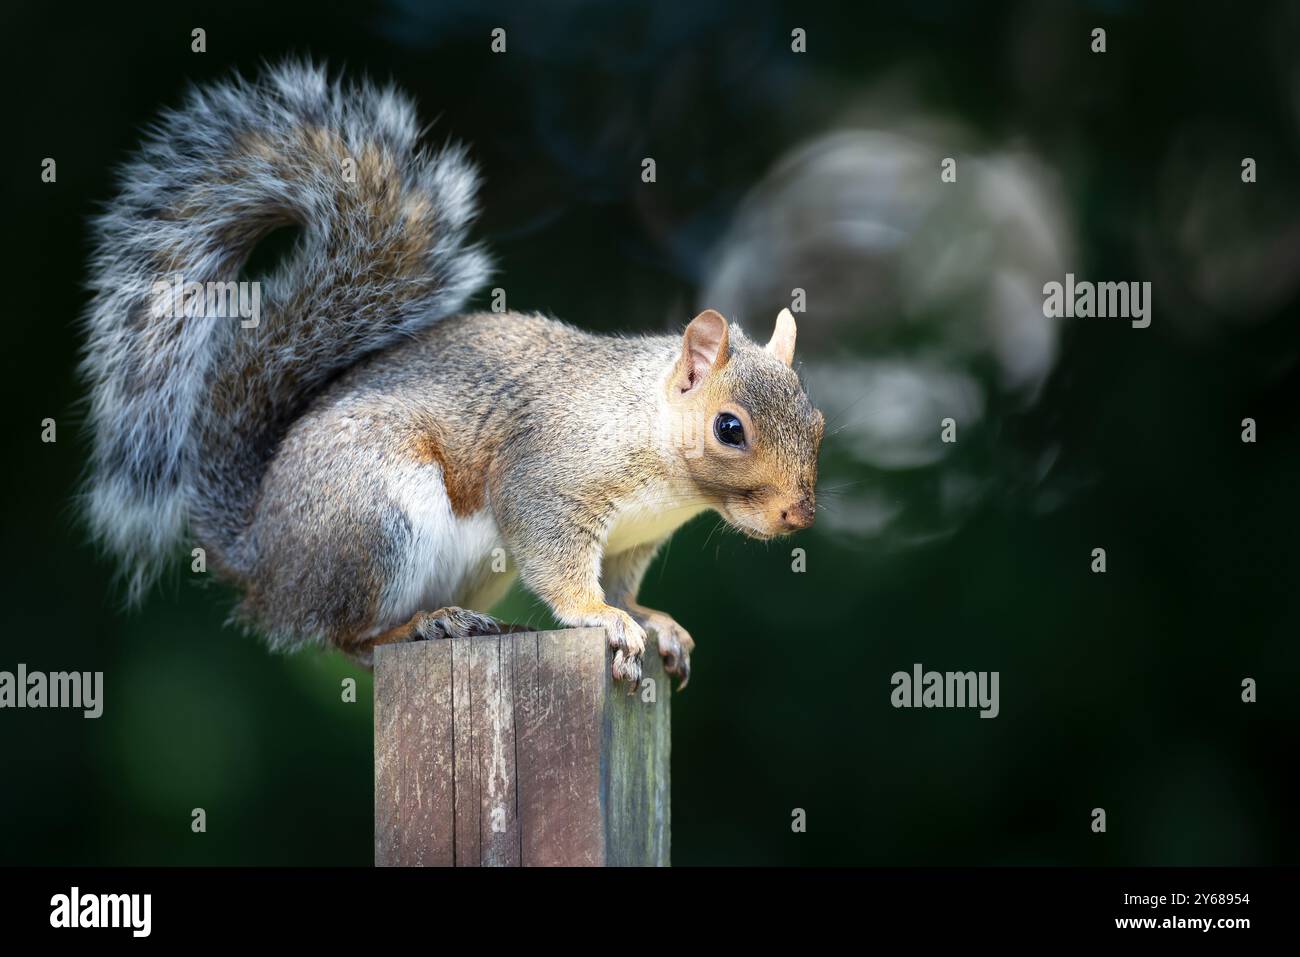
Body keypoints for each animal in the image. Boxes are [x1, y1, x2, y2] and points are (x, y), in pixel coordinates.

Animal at [80, 61, 824, 688]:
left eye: (818, 425)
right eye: (729, 429)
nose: (799, 514)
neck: (659, 453)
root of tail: (262, 557)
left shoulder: (632, 539)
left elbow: (623, 585)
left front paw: (653, 621)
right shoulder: (549, 478)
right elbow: (562, 565)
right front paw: (601, 617)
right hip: (373, 518)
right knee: (348, 636)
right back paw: (420, 624)